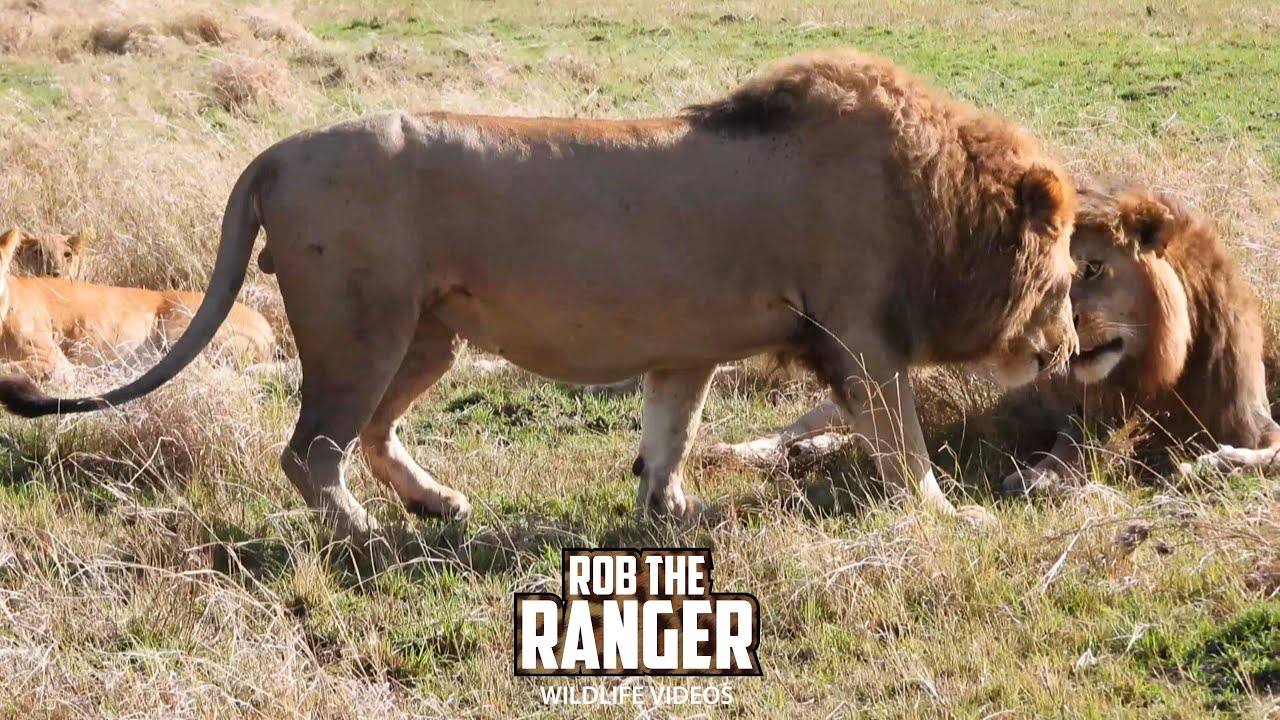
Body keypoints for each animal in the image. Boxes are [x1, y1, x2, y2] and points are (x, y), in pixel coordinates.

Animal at [0, 228, 274, 380]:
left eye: (66, 255)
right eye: (37, 253)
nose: (53, 271)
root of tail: (269, 330)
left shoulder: (54, 360)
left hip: (179, 327)